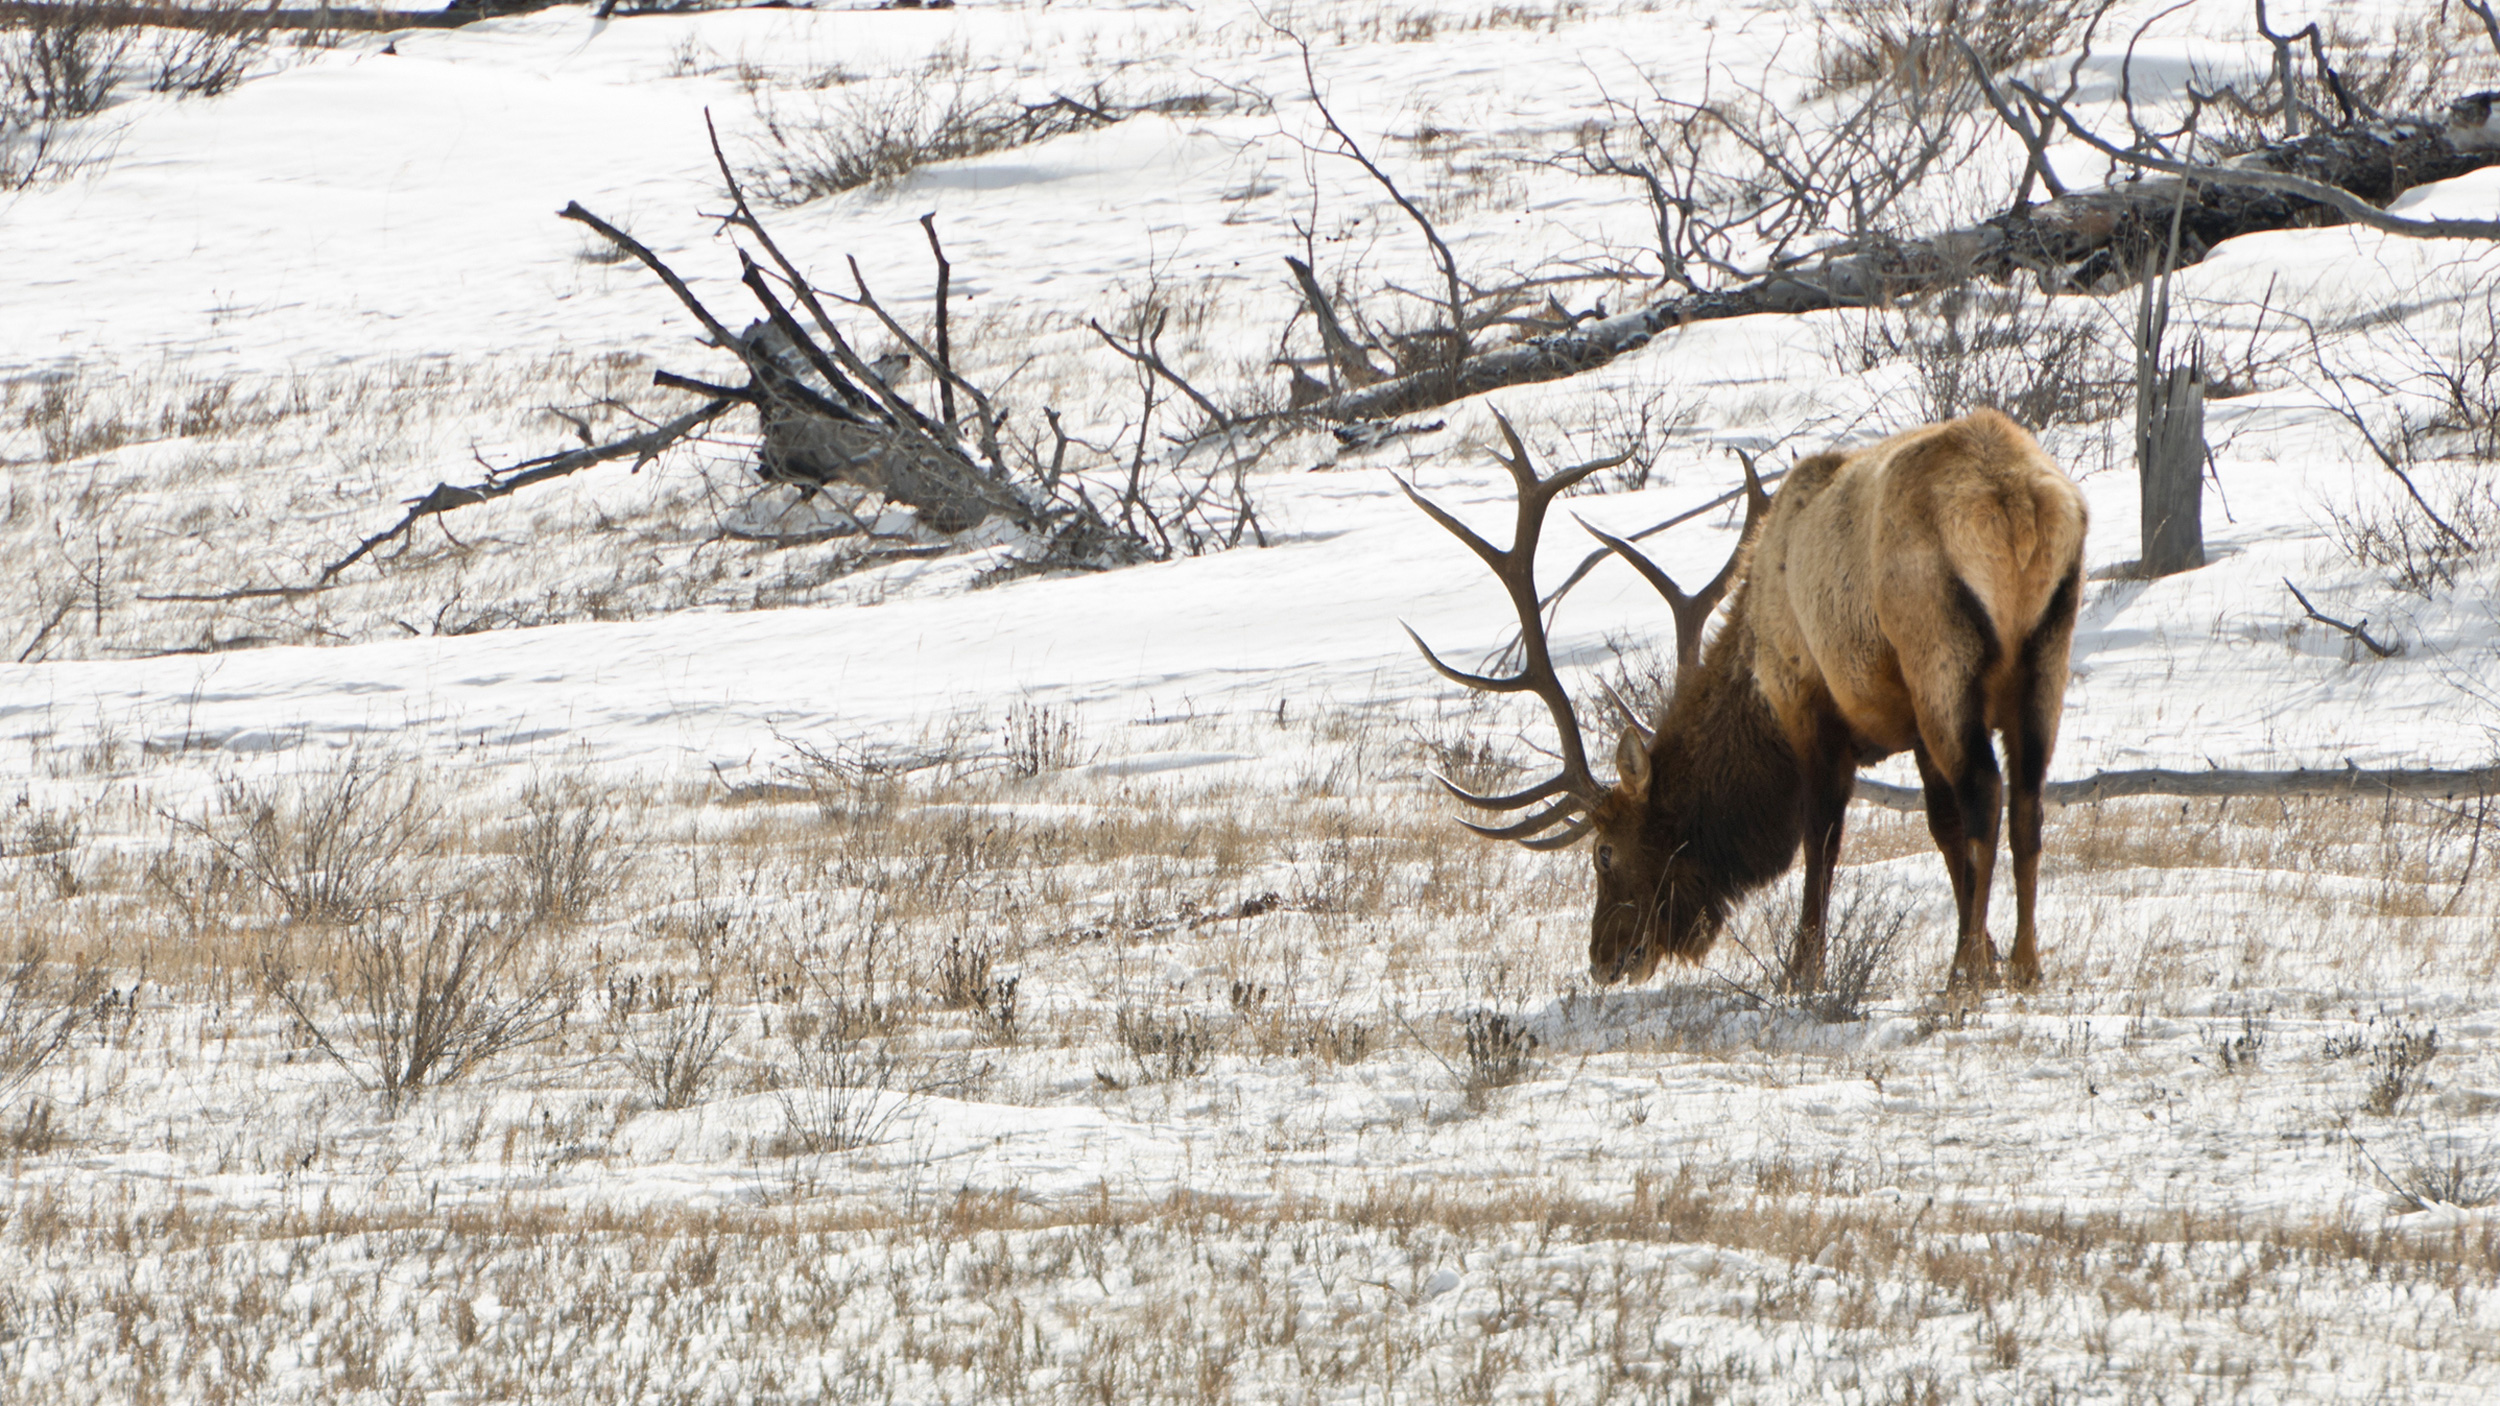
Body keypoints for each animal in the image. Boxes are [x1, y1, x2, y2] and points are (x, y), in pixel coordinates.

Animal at [1403, 408, 2087, 992]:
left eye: (1603, 852)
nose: (1602, 958)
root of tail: (2014, 501)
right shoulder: (1904, 725)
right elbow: (1942, 835)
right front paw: (1988, 950)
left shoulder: (1810, 702)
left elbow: (1825, 838)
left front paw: (1803, 970)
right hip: (2047, 650)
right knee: (2027, 799)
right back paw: (2026, 965)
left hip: (1937, 652)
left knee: (1986, 793)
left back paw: (1961, 977)